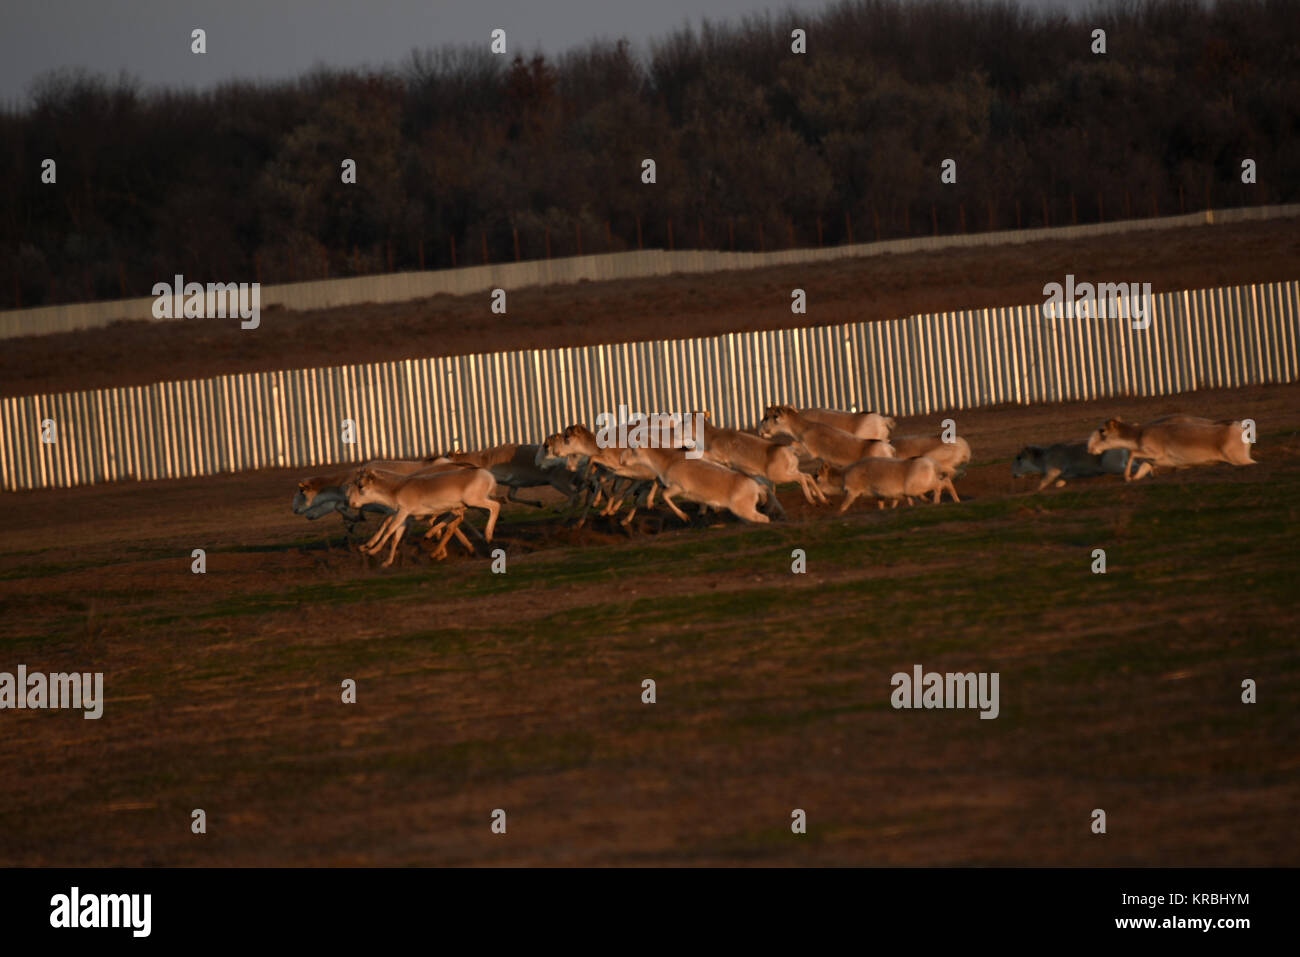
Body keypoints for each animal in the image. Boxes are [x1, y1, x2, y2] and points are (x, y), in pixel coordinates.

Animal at [348, 467, 500, 568]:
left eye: (360, 486)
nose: (350, 502)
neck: (397, 488)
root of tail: (488, 475)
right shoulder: (405, 517)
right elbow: (396, 537)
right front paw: (387, 562)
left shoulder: (403, 512)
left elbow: (389, 530)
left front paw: (371, 551)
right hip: (463, 506)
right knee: (452, 521)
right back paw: (431, 538)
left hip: (474, 501)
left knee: (495, 506)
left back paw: (488, 536)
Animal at [817, 456, 958, 511]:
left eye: (817, 477)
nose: (817, 493)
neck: (844, 474)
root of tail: (933, 463)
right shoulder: (881, 496)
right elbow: (884, 505)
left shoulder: (852, 492)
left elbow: (843, 506)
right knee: (947, 481)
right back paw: (956, 500)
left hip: (916, 487)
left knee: (939, 486)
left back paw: (936, 501)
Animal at [1086, 417, 1256, 479]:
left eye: (1102, 430)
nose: (1089, 448)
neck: (1139, 434)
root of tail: (1241, 427)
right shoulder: (1151, 461)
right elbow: (1141, 469)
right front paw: (1130, 478)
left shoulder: (1155, 453)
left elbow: (1133, 453)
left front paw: (1127, 475)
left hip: (1238, 458)